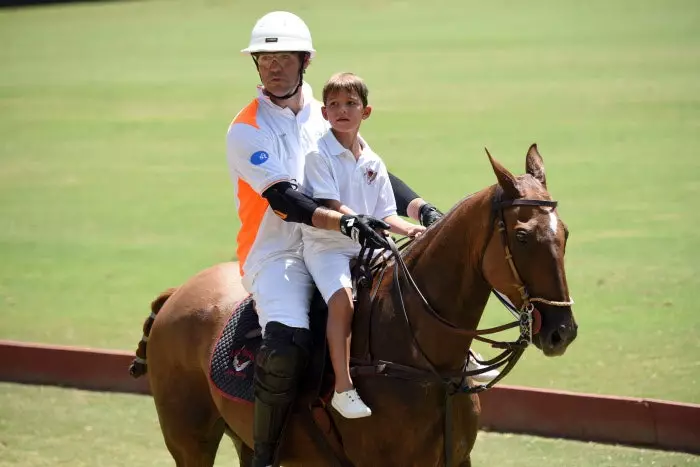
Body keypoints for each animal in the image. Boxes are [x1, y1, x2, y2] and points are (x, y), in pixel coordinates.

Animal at [133, 144, 580, 466]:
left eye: (565, 233)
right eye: (522, 236)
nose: (562, 331)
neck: (427, 361)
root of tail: (176, 293)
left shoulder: (456, 459)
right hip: (189, 441)